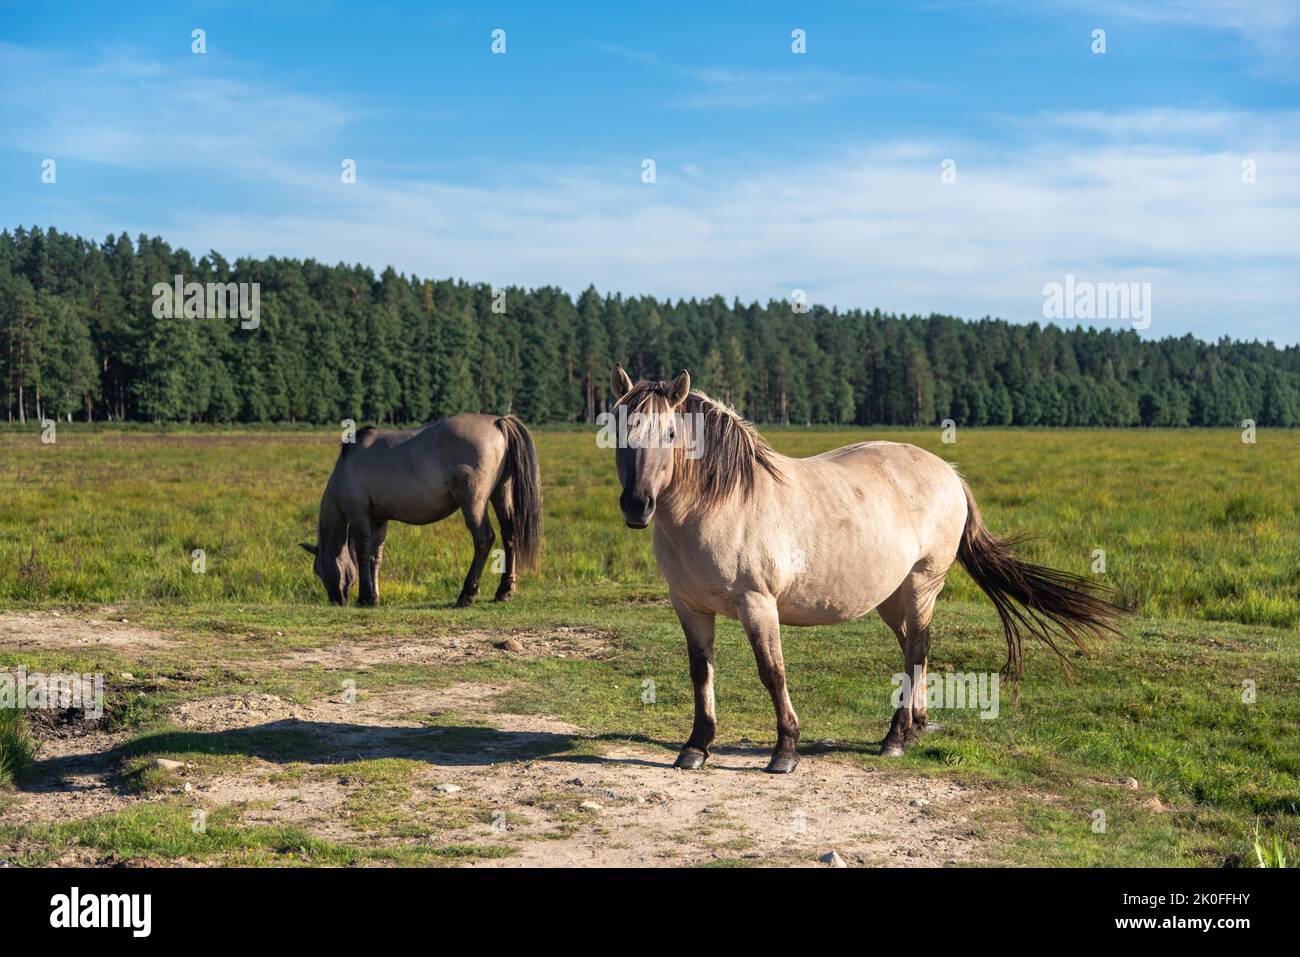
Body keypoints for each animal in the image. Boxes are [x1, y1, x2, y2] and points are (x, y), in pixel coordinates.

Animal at [300, 414, 541, 607]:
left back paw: (467, 595)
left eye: (318, 569)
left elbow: (362, 553)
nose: (336, 600)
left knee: (484, 539)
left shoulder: (358, 515)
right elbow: (376, 556)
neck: (346, 466)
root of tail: (497, 421)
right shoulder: (378, 520)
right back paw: (504, 591)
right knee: (509, 536)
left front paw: (365, 597)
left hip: (474, 503)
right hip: (500, 494)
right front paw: (374, 597)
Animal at [608, 363, 1125, 774]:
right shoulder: (690, 607)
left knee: (917, 649)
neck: (720, 504)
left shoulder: (758, 604)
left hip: (921, 585)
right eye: (617, 433)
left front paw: (785, 751)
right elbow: (701, 672)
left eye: (670, 435)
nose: (637, 506)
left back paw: (895, 738)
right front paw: (696, 747)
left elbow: (772, 672)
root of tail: (949, 473)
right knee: (914, 649)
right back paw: (914, 727)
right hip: (891, 597)